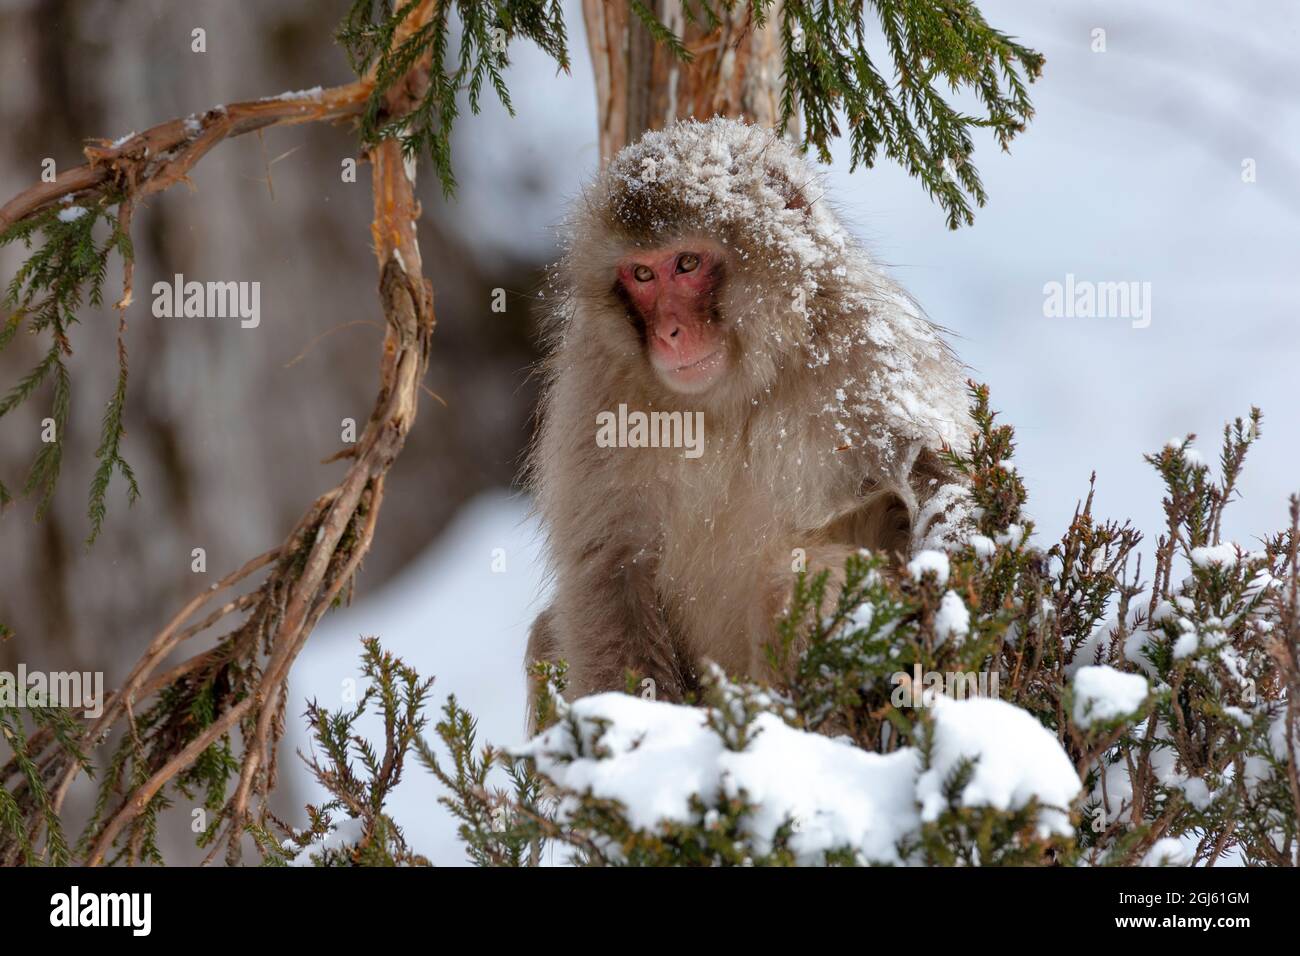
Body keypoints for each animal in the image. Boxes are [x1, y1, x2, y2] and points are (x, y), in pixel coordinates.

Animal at [525, 118, 974, 718]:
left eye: (686, 264)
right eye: (641, 274)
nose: (669, 333)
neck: (733, 394)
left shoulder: (868, 350)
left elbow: (931, 480)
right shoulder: (595, 393)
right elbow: (609, 565)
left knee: (799, 579)